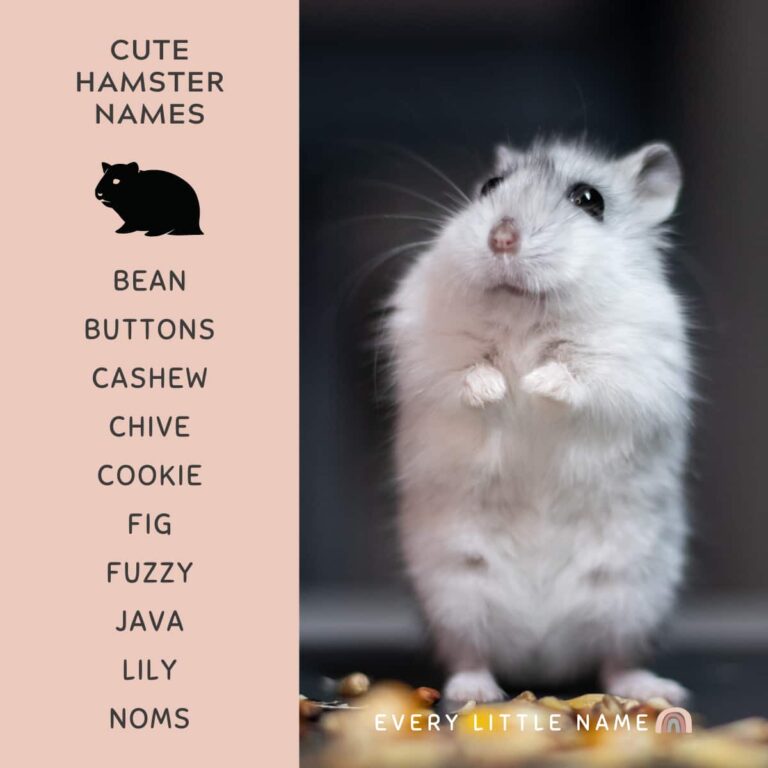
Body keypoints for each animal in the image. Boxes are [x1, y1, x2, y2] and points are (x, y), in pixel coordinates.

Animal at [385, 139, 692, 706]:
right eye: (489, 187)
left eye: (589, 200)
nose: (501, 237)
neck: (524, 310)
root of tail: (542, 658)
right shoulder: (429, 347)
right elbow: (464, 373)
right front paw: (498, 388)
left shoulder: (633, 363)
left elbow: (579, 376)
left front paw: (532, 384)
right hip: (455, 588)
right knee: (471, 653)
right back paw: (476, 692)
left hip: (633, 593)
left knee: (616, 659)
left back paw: (654, 690)